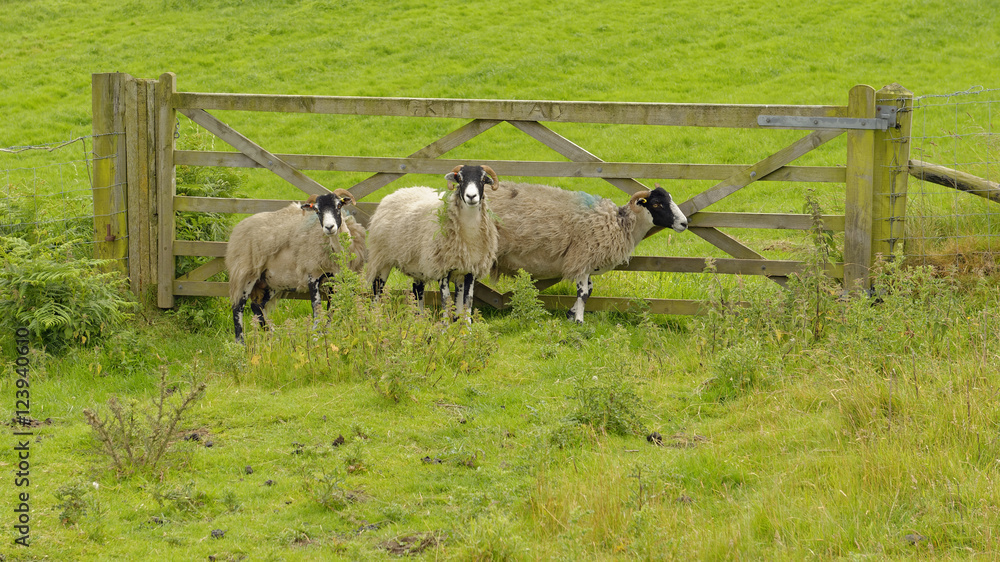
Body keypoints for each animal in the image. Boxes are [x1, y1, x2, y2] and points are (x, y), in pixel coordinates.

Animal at [225, 189, 366, 343]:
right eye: (317, 210)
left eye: (339, 205)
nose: (329, 227)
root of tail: (239, 227)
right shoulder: (313, 273)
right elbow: (316, 306)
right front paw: (316, 336)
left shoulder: (336, 279)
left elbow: (331, 308)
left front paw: (326, 334)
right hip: (244, 273)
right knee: (237, 308)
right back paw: (241, 343)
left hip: (270, 281)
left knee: (257, 306)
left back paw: (274, 336)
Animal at [366, 165, 499, 320]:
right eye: (460, 178)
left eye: (483, 179)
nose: (471, 197)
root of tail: (394, 194)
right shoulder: (442, 269)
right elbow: (446, 304)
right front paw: (445, 326)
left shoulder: (469, 270)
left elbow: (466, 306)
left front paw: (464, 327)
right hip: (382, 258)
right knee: (376, 290)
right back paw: (374, 318)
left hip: (418, 265)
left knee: (417, 291)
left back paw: (420, 320)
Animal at [489, 182, 688, 323]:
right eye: (656, 204)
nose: (685, 223)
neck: (620, 223)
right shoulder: (582, 257)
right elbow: (583, 293)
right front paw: (579, 320)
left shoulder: (587, 263)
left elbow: (590, 290)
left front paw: (571, 314)